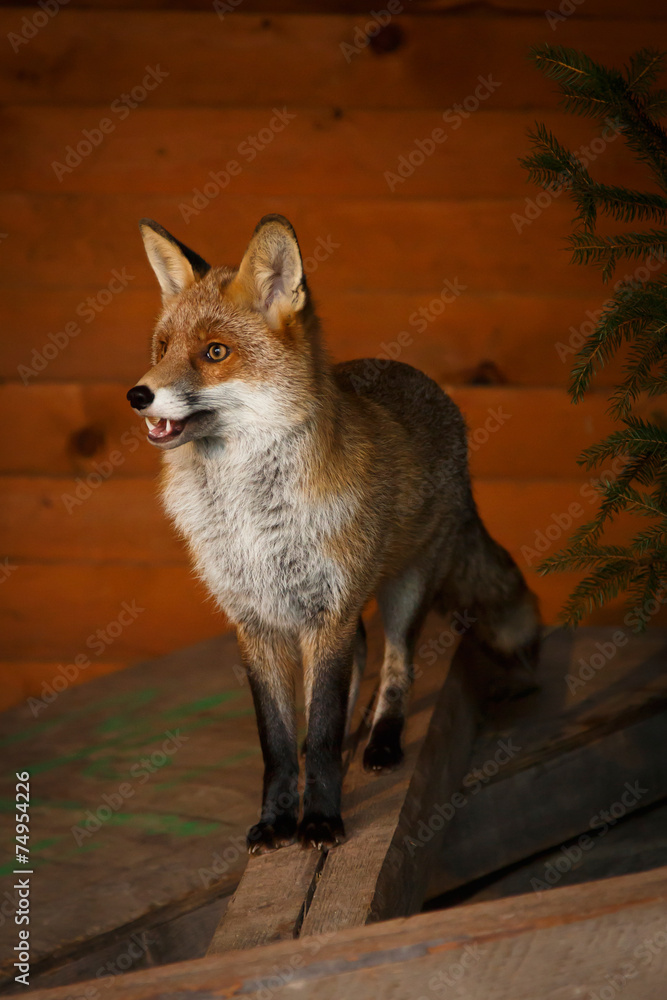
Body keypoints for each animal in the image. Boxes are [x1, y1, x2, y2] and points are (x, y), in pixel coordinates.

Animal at [127, 214, 541, 854]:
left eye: (216, 353)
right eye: (163, 349)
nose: (137, 394)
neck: (252, 519)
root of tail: (428, 384)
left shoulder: (331, 610)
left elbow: (320, 728)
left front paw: (320, 819)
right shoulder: (258, 620)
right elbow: (277, 742)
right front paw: (276, 820)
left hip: (405, 589)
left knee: (396, 665)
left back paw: (382, 742)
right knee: (361, 662)